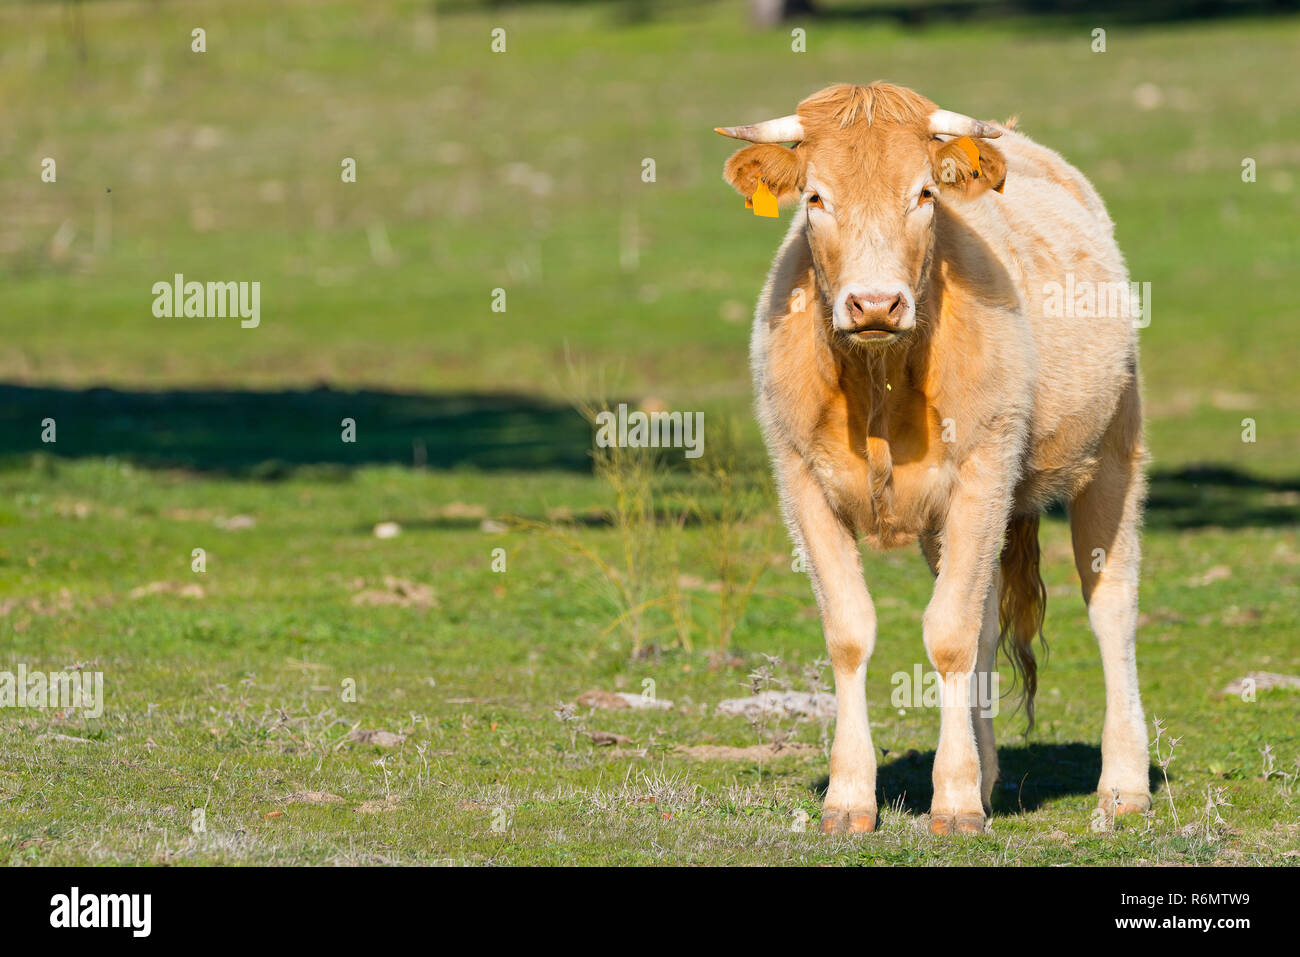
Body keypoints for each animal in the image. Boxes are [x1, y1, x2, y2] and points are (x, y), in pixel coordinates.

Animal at [715, 82, 1150, 834]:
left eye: (923, 193)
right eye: (815, 197)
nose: (874, 303)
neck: (879, 376)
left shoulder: (984, 470)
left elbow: (946, 634)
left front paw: (953, 800)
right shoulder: (800, 481)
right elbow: (853, 632)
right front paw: (851, 796)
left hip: (1112, 457)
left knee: (1110, 608)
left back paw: (1123, 785)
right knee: (985, 621)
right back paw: (989, 771)